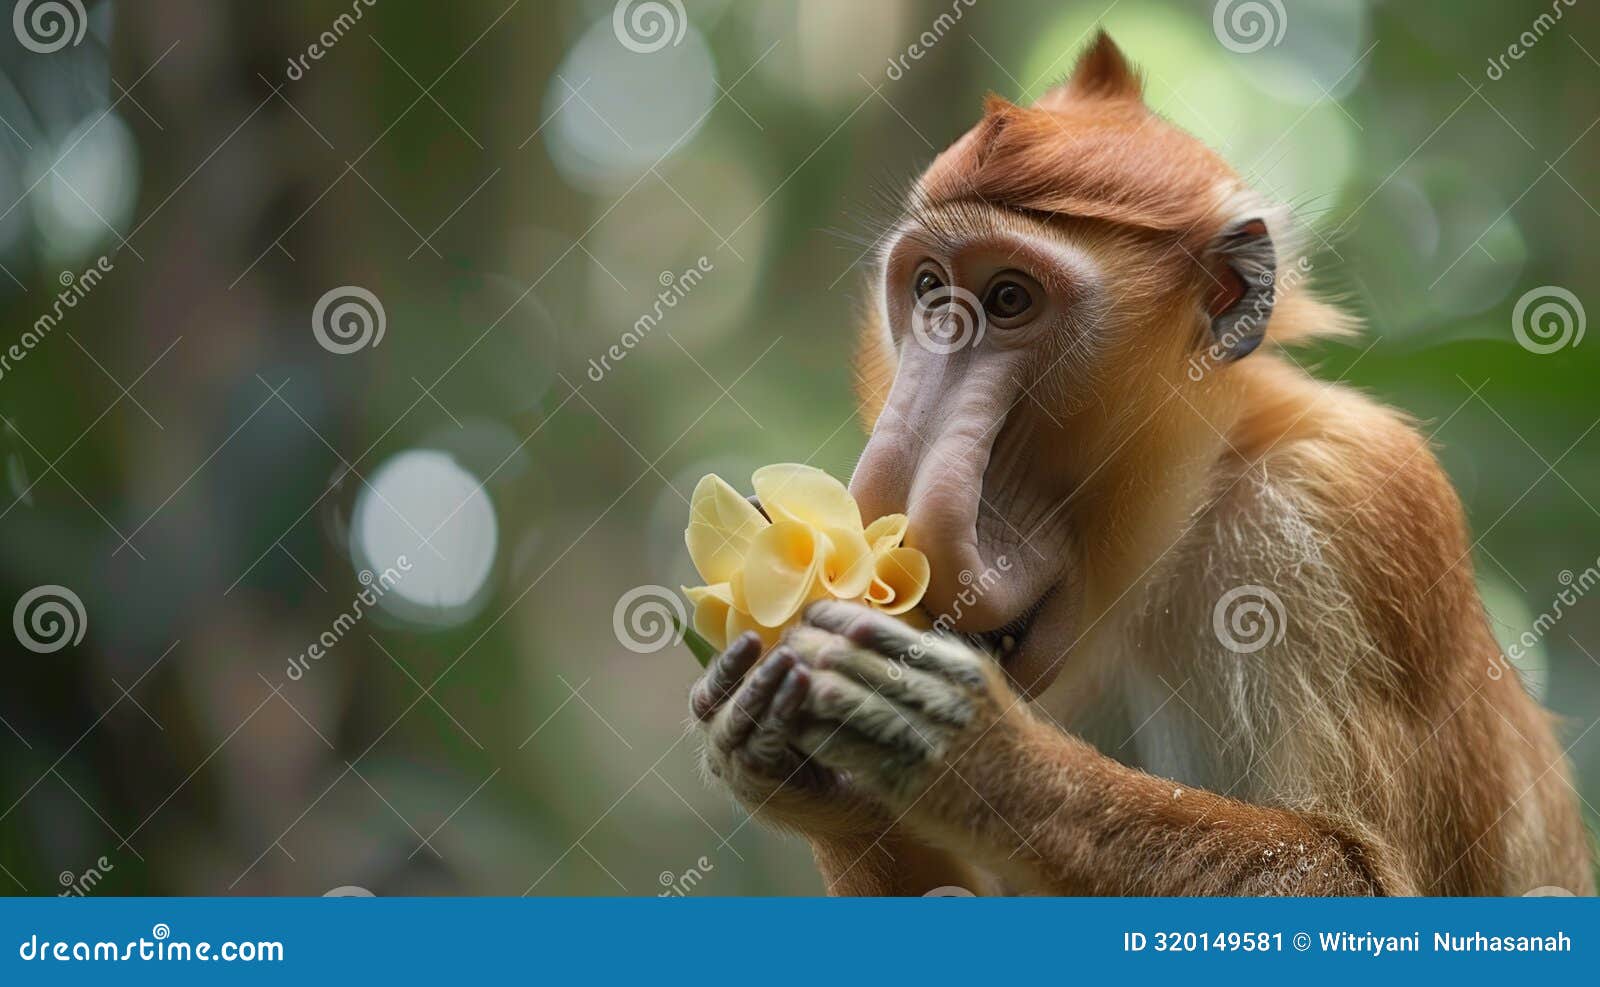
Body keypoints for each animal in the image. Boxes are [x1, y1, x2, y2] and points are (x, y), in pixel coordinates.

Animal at [689, 32, 1594, 897]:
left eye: (1010, 298)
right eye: (928, 289)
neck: (1166, 538)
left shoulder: (1353, 502)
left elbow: (1359, 874)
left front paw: (972, 751)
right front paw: (789, 760)